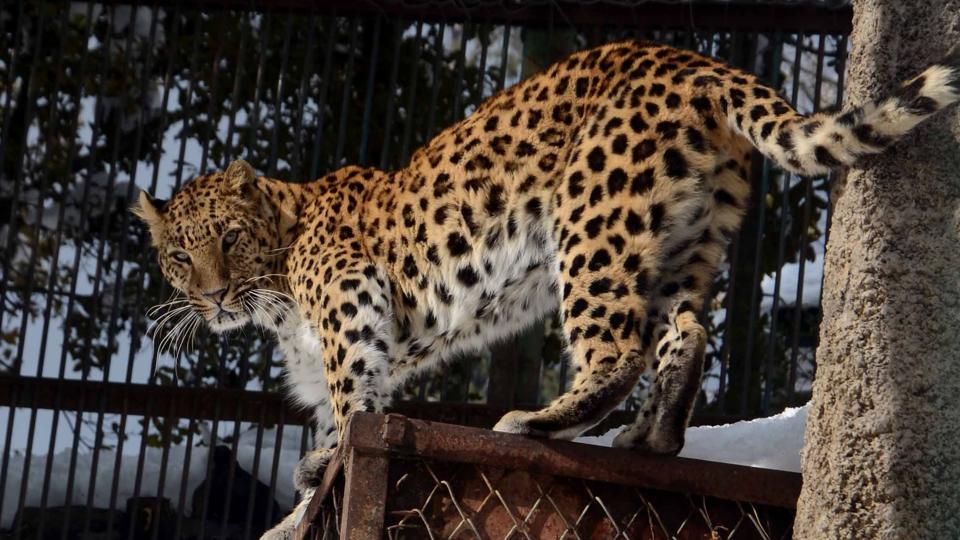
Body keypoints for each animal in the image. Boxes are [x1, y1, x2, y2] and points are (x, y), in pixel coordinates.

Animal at [133, 39, 960, 538]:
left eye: (227, 239)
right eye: (179, 255)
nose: (212, 297)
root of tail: (690, 60)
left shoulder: (351, 298)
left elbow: (352, 403)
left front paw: (309, 488)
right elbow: (348, 416)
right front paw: (305, 491)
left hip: (592, 221)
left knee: (618, 351)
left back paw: (535, 422)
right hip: (684, 240)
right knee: (685, 333)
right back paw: (652, 437)